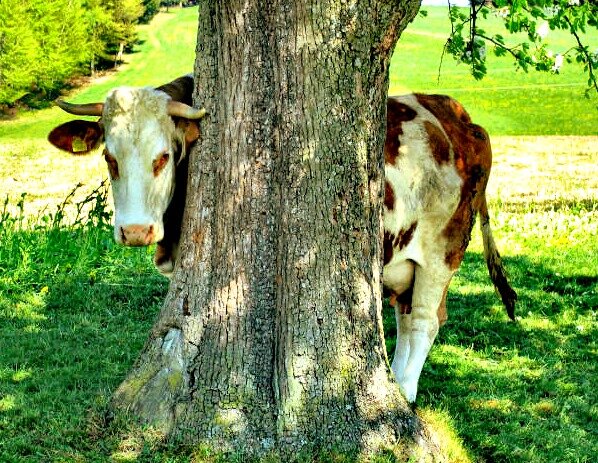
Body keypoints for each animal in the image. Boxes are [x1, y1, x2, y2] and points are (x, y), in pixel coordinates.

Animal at [48, 76, 516, 402]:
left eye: (163, 156)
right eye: (109, 157)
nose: (135, 231)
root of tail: (456, 115)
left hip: (442, 249)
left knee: (423, 321)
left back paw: (403, 393)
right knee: (408, 318)